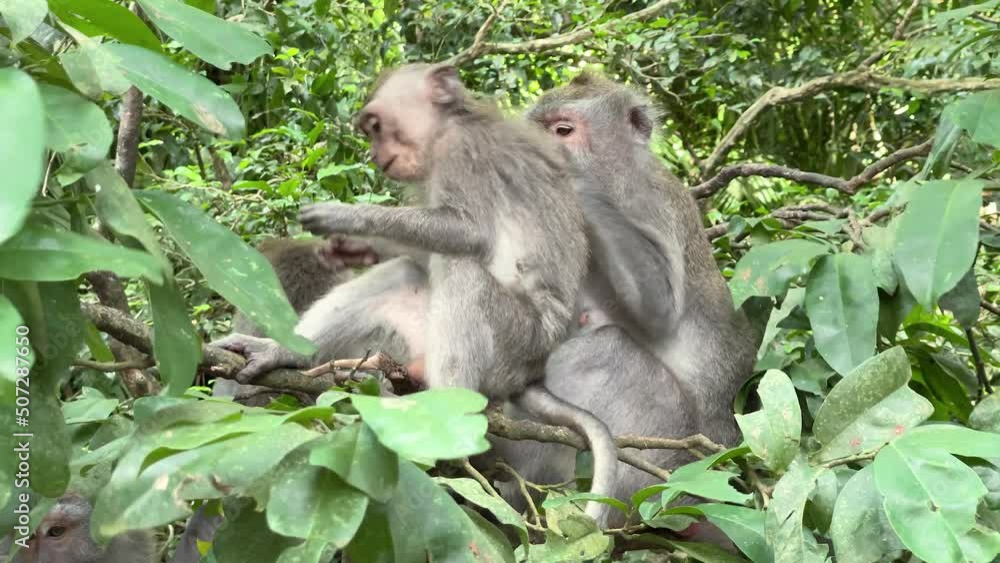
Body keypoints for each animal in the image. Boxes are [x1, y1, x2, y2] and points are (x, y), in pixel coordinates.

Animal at [215, 63, 617, 523]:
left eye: (375, 126)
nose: (374, 154)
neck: (450, 124)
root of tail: (533, 371)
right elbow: (418, 254)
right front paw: (352, 247)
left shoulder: (463, 154)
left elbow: (468, 234)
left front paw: (351, 218)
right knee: (403, 273)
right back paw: (283, 353)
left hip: (515, 345)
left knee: (463, 270)